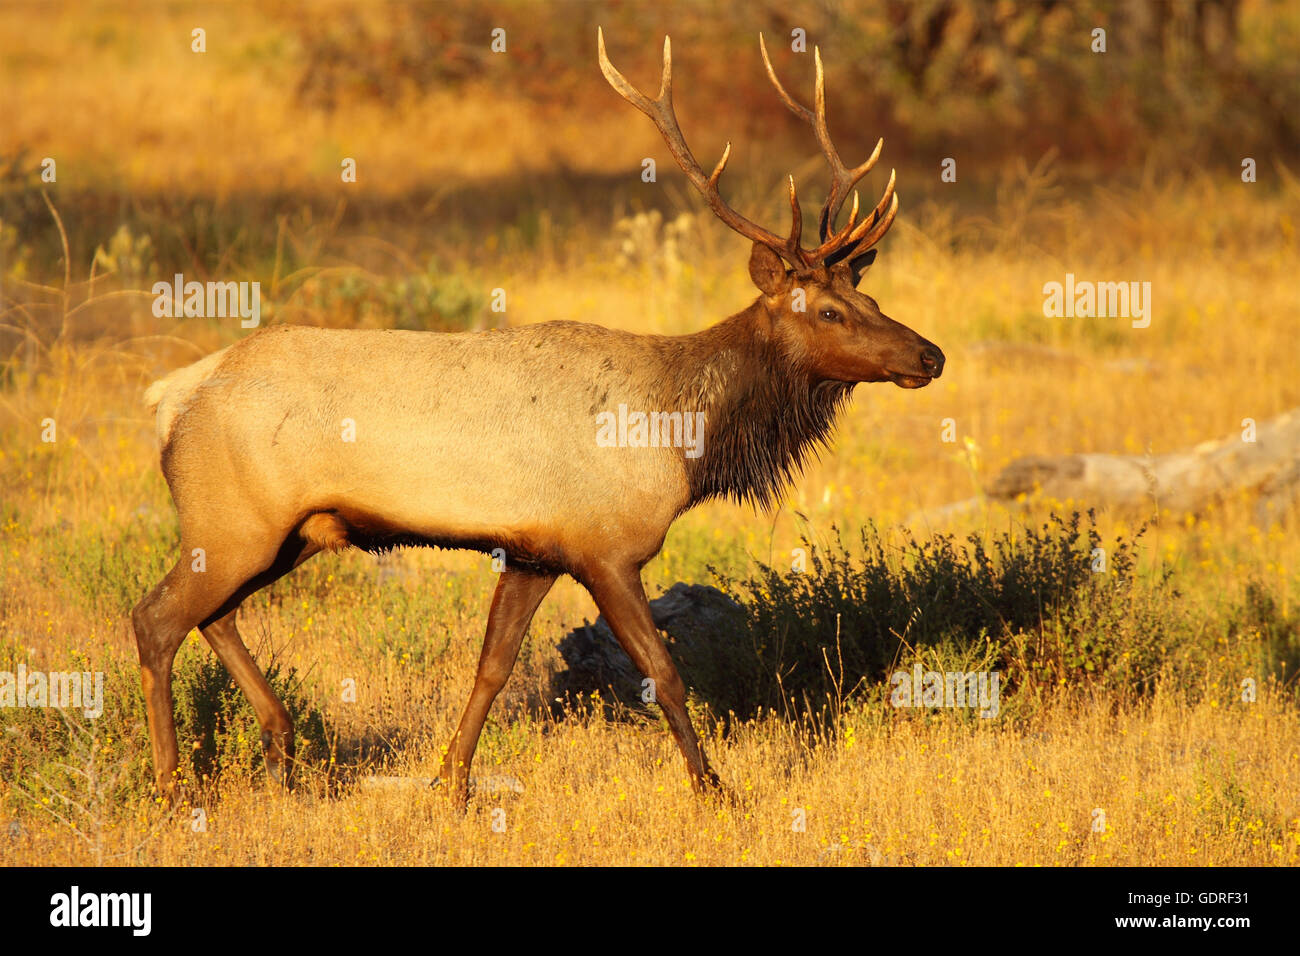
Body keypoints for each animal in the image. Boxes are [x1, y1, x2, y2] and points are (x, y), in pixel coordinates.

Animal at [131, 30, 944, 810]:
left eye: (870, 298)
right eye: (829, 310)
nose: (930, 355)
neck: (682, 437)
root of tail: (171, 396)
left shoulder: (535, 552)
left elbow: (492, 666)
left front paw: (452, 784)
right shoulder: (605, 548)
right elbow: (663, 673)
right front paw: (715, 789)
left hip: (288, 533)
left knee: (215, 617)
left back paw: (281, 749)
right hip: (232, 522)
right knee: (156, 618)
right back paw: (172, 787)